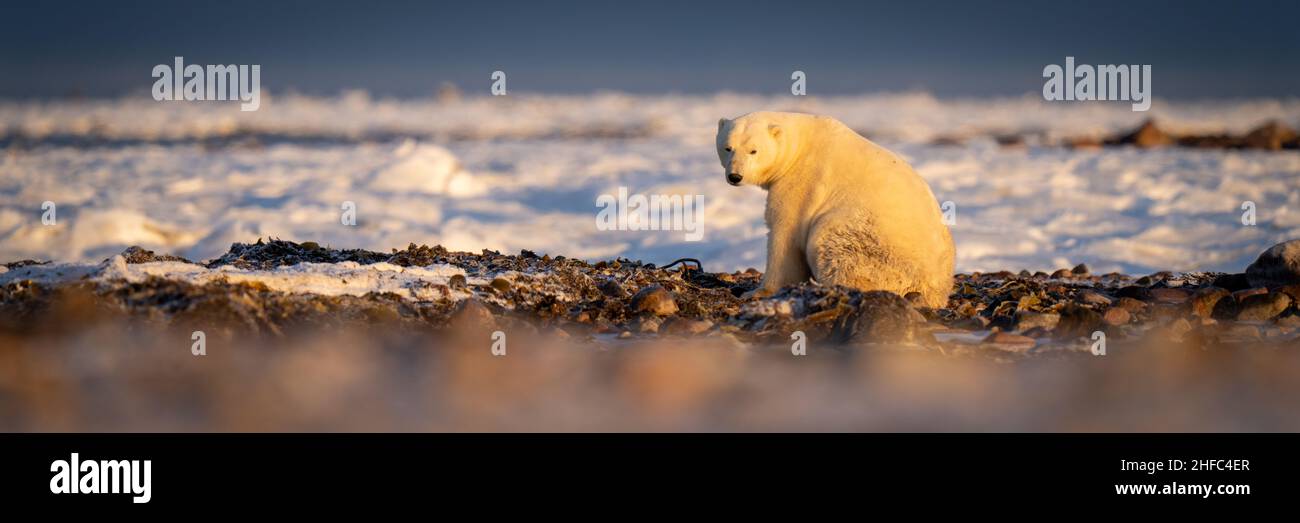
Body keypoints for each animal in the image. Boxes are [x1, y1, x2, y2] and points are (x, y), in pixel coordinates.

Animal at [716, 111, 955, 308]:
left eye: (753, 151)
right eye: (728, 148)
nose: (735, 176)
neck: (800, 145)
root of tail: (936, 290)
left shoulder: (802, 182)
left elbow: (785, 232)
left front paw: (758, 292)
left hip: (876, 249)